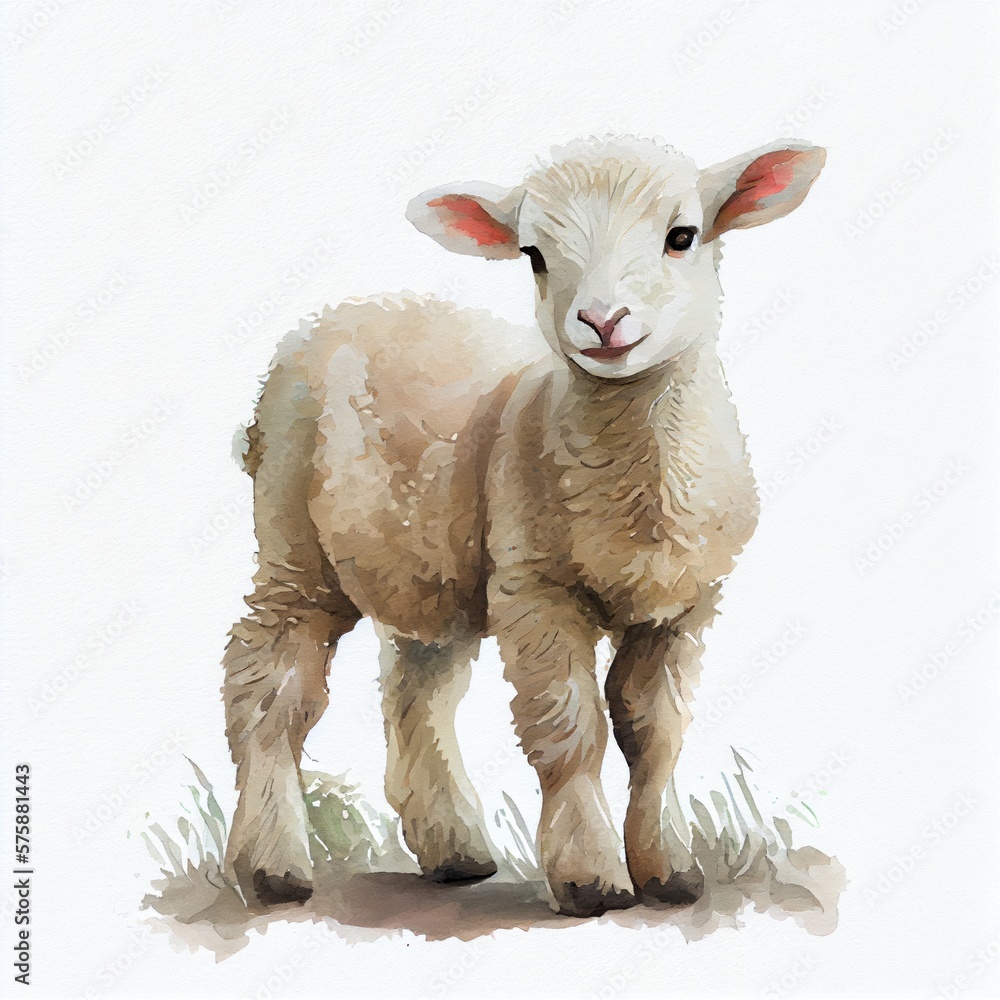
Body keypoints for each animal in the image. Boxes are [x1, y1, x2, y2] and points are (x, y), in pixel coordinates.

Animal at [222, 135, 826, 918]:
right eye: (534, 254)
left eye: (682, 236)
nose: (602, 322)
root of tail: (335, 314)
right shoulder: (535, 588)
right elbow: (571, 729)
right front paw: (591, 877)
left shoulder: (683, 604)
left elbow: (655, 735)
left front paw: (669, 871)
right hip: (293, 539)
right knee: (269, 681)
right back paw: (272, 866)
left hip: (430, 570)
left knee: (417, 692)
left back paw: (454, 850)